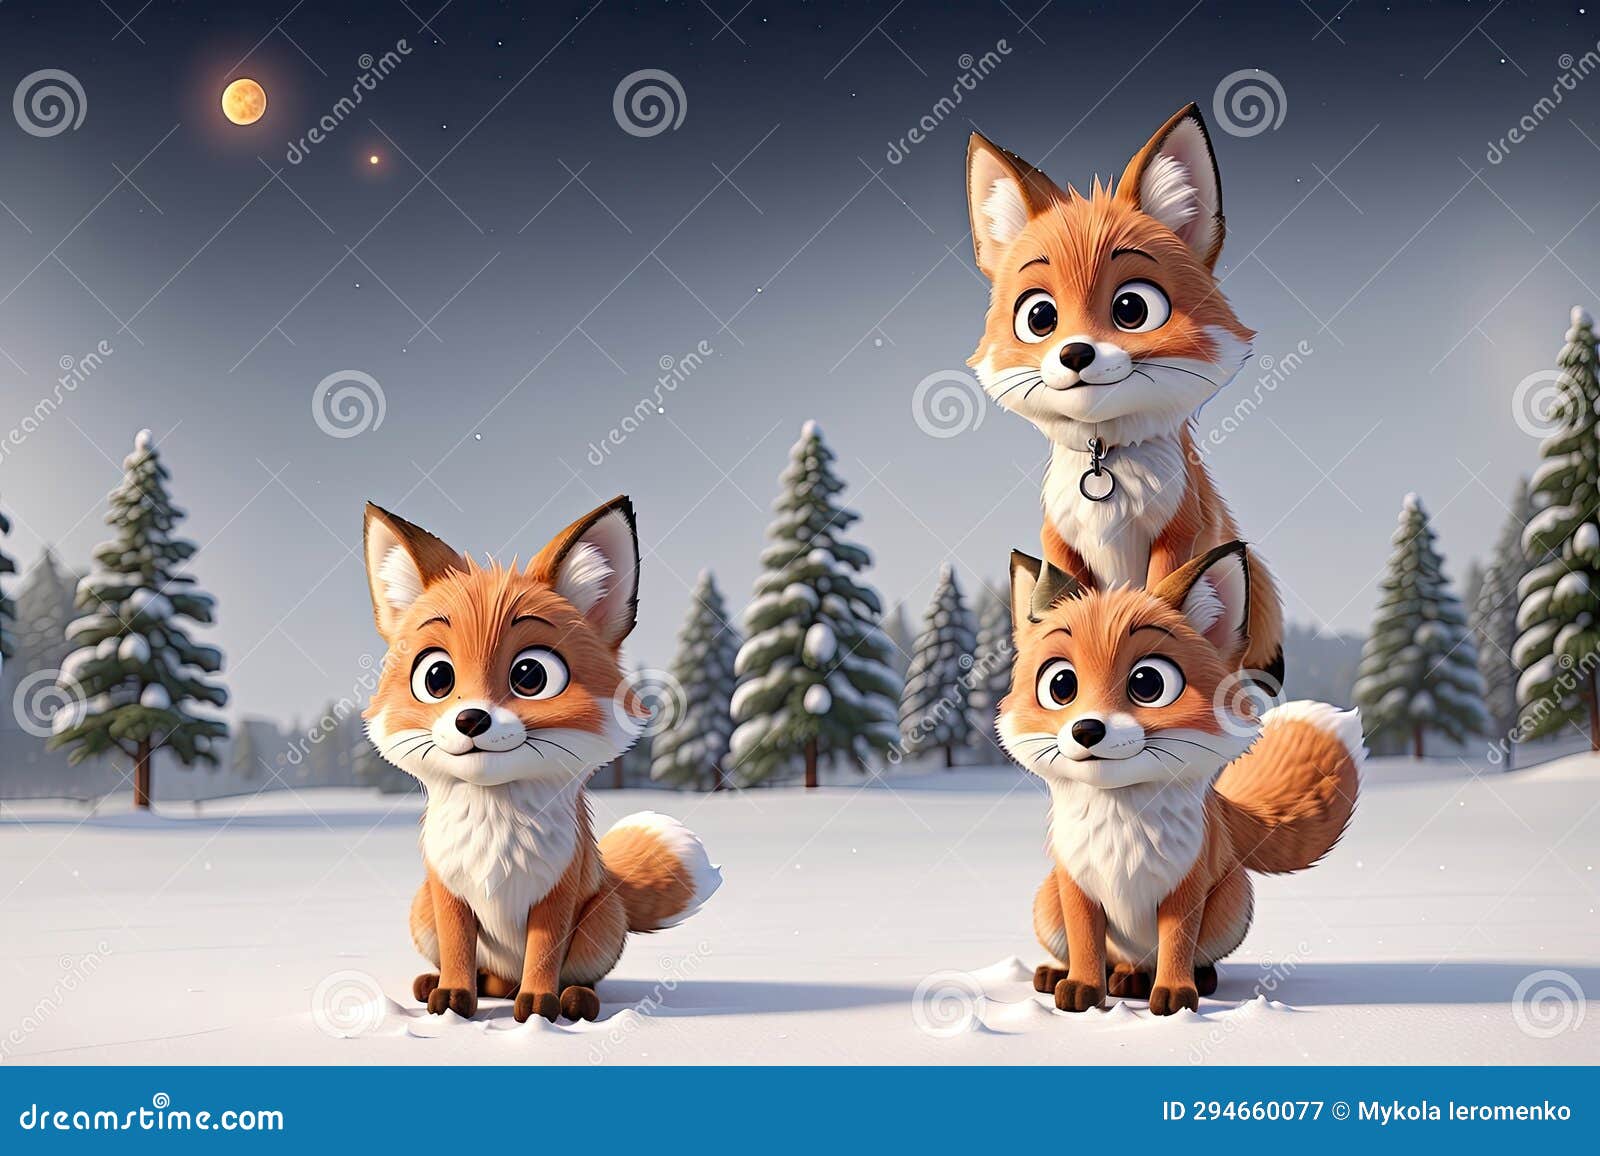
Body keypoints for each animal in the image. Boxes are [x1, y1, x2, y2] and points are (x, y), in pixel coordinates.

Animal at [360, 496, 720, 1023]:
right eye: (437, 677)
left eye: (530, 675)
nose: (470, 719)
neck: (493, 826)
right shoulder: (448, 893)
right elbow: (458, 951)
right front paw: (454, 1000)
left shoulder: (556, 893)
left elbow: (544, 955)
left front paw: (536, 1009)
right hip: (421, 908)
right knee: (485, 974)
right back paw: (442, 986)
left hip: (602, 921)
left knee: (577, 976)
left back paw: (573, 999)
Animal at [997, 541, 1361, 1015]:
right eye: (1061, 685)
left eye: (1147, 682)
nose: (1086, 730)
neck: (1121, 824)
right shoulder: (1076, 885)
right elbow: (1085, 944)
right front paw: (1081, 989)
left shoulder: (1185, 887)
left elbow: (1176, 945)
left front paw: (1173, 997)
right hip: (1047, 903)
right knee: (1107, 959)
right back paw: (1073, 975)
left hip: (1232, 904)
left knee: (1179, 958)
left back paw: (1181, 980)